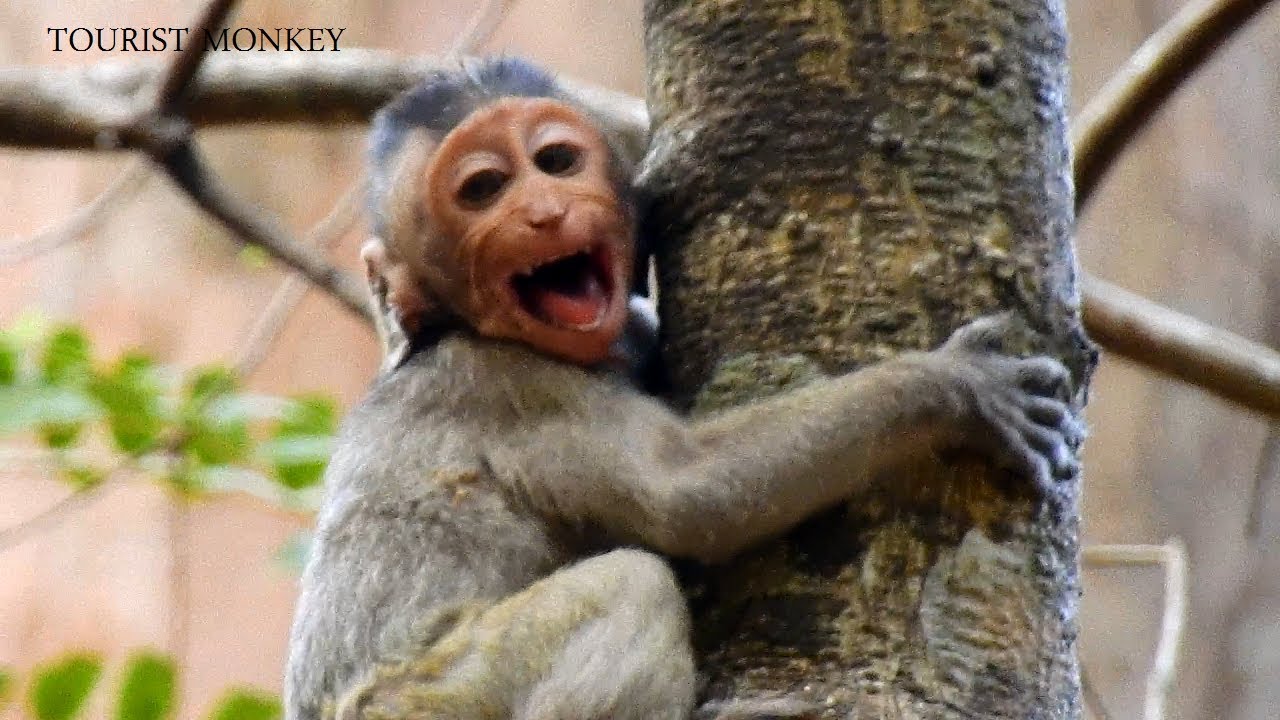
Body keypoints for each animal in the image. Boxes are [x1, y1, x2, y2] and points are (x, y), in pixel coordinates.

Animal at [283, 57, 1084, 720]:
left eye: (554, 162)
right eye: (484, 190)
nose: (543, 211)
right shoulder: (508, 386)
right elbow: (688, 497)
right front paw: (954, 391)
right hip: (427, 703)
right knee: (633, 584)